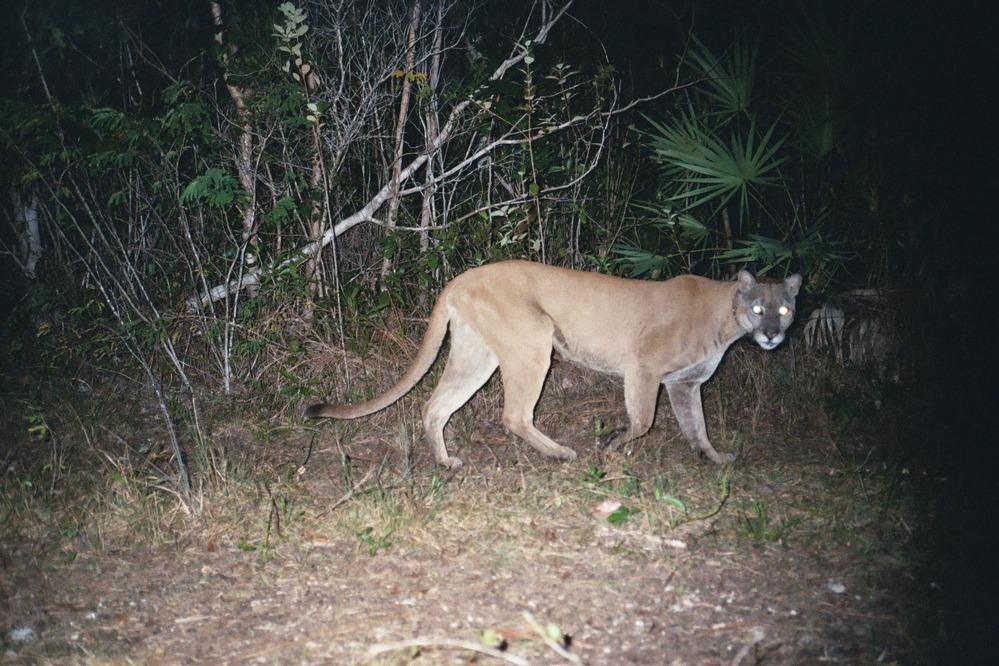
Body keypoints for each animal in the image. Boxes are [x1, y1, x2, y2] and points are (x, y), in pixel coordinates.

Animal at [306, 260, 804, 466]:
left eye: (784, 309)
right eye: (759, 308)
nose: (773, 334)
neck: (725, 315)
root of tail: (462, 277)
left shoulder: (685, 384)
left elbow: (696, 427)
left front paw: (715, 458)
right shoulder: (644, 367)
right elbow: (643, 421)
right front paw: (611, 444)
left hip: (477, 354)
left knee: (435, 406)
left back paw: (446, 463)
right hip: (533, 343)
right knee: (514, 414)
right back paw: (561, 453)